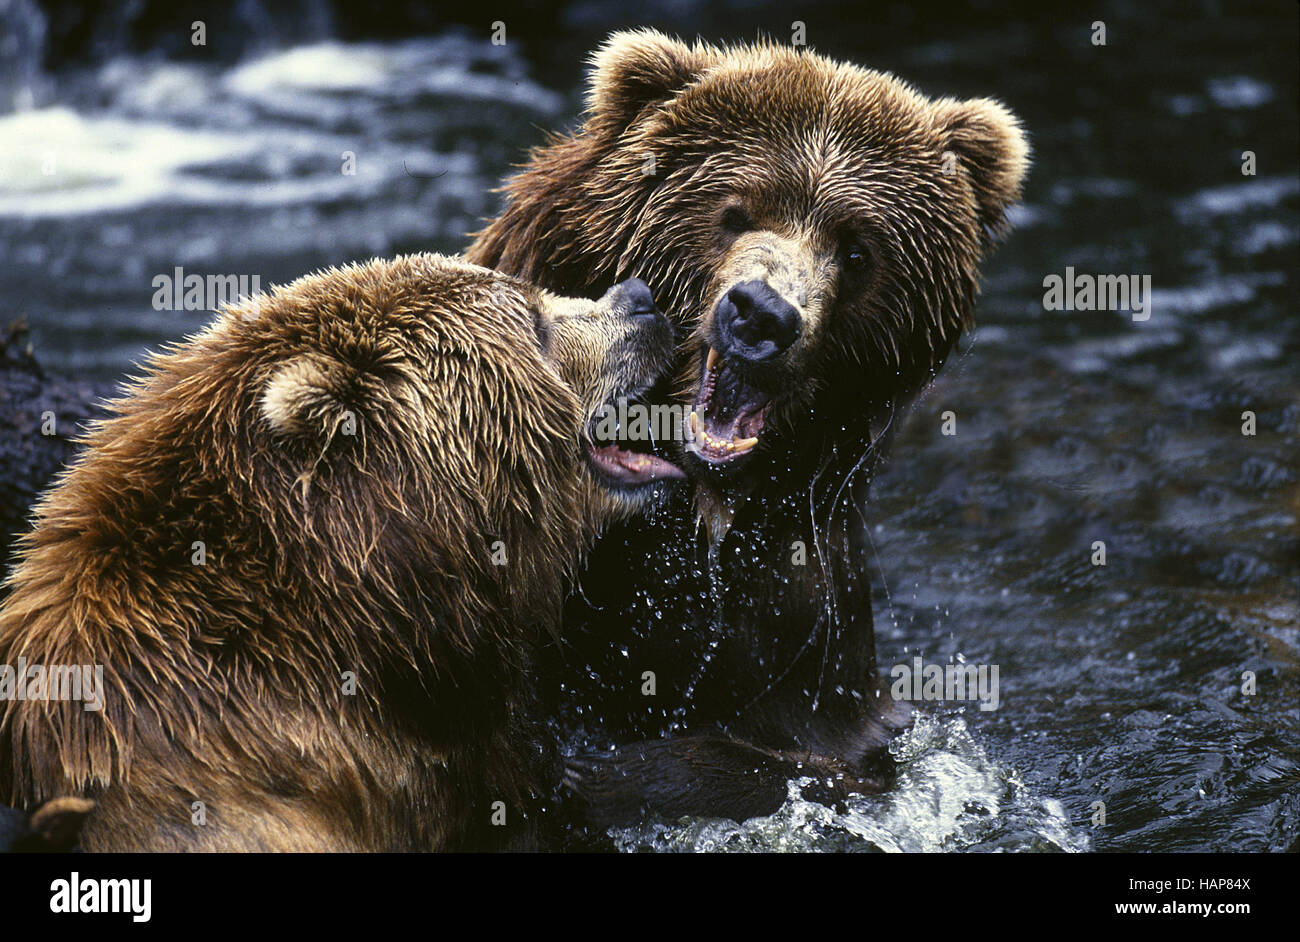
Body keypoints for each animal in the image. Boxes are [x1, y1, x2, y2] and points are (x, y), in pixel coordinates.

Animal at [467, 30, 1029, 830]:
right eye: (735, 210)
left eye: (857, 249)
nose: (762, 314)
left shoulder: (796, 616)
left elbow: (821, 761)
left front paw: (603, 772)